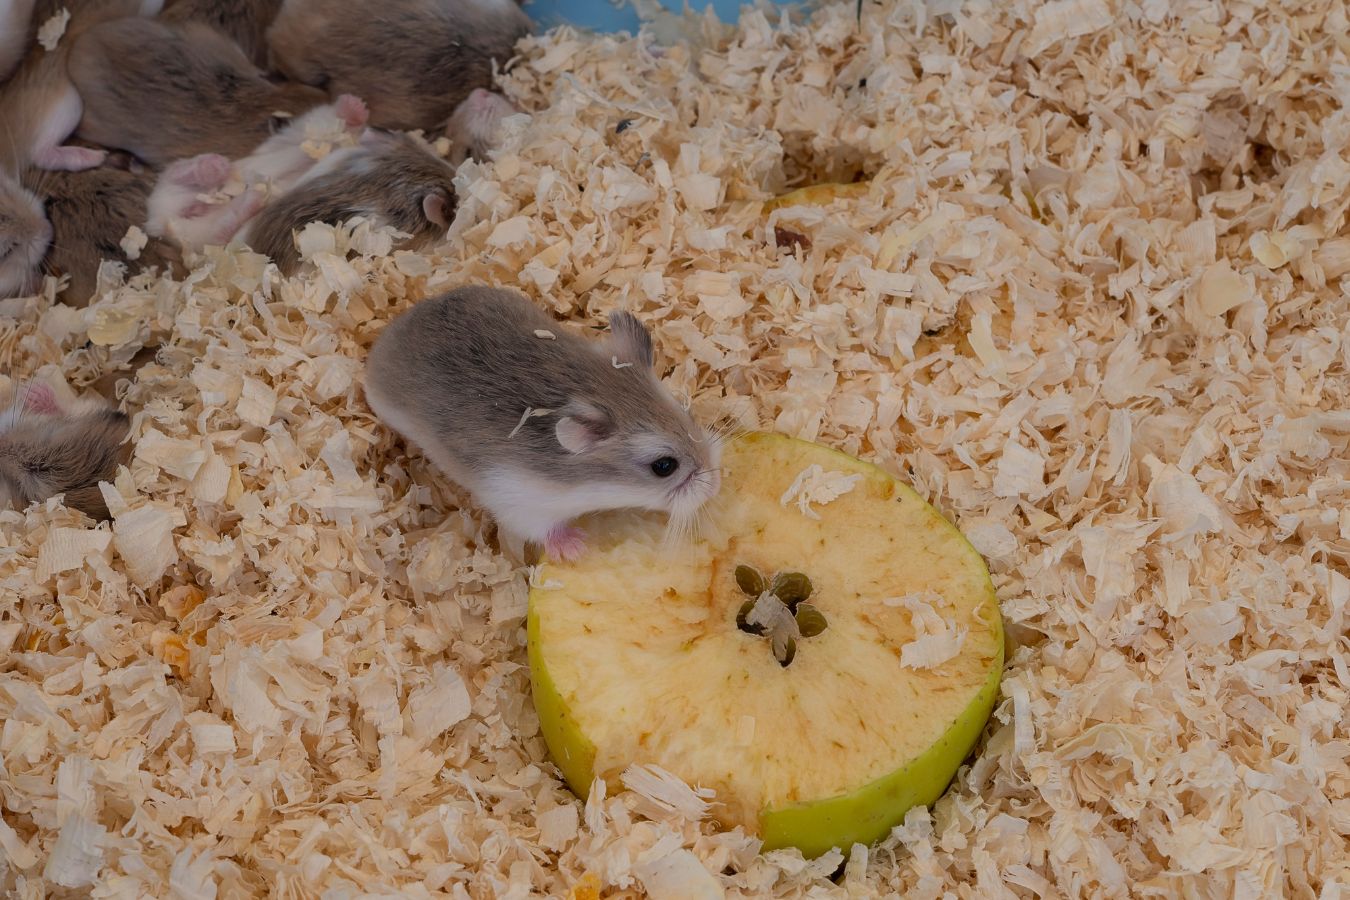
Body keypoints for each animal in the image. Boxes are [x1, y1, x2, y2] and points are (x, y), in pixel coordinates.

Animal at [145, 94, 368, 252]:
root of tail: (162, 221)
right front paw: (357, 110)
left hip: (199, 234)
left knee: (219, 229)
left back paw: (248, 194)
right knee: (174, 173)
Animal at [363, 285, 722, 561]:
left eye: (688, 415)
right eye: (664, 466)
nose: (715, 487)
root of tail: (392, 331)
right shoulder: (519, 500)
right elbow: (542, 528)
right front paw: (576, 548)